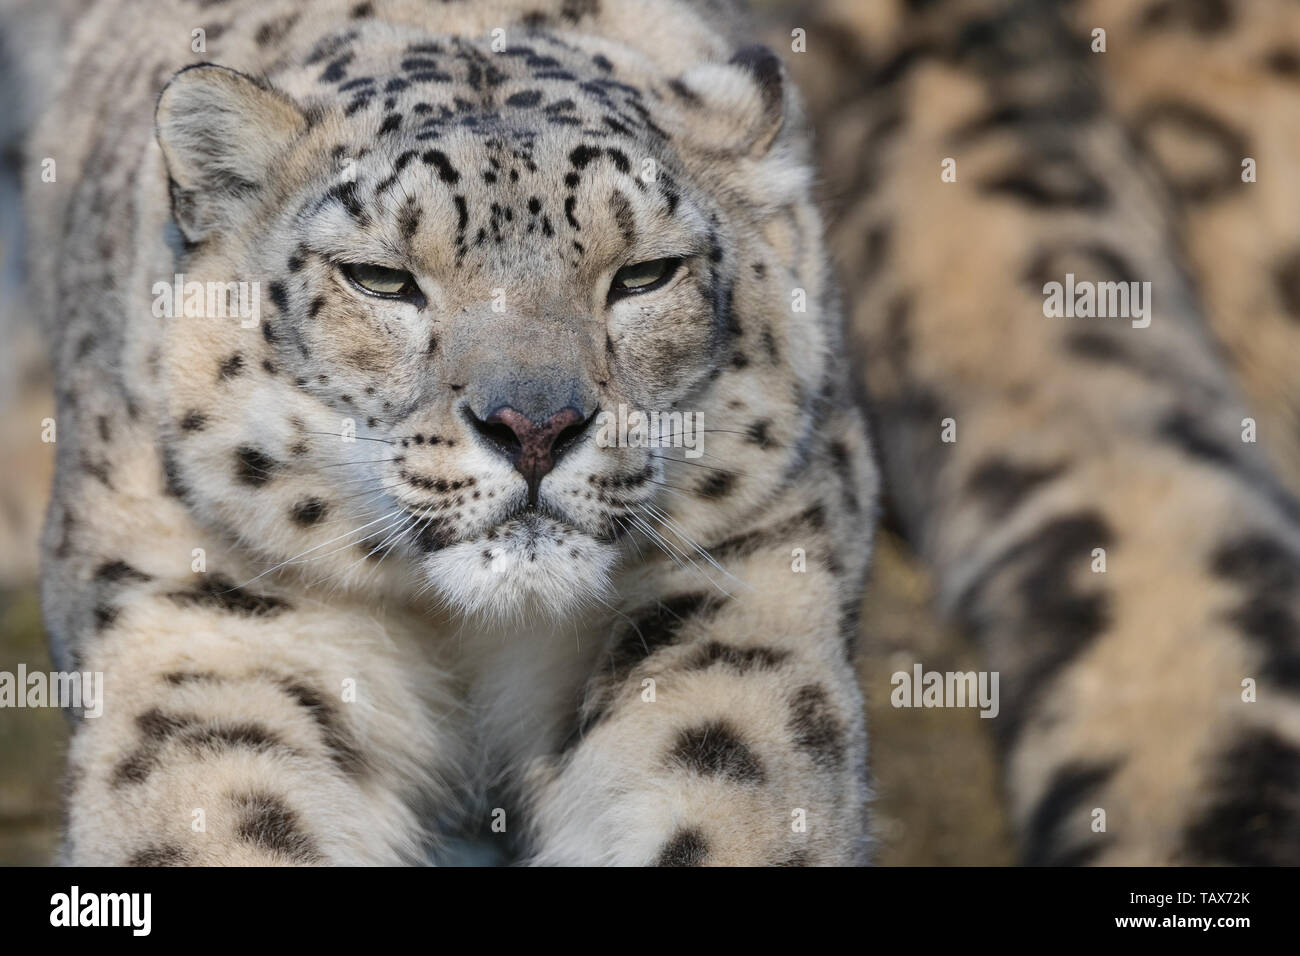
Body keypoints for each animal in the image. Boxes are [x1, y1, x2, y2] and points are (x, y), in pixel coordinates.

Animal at [21, 0, 878, 864]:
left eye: (644, 274)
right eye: (380, 279)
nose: (535, 427)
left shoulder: (738, 592)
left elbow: (729, 780)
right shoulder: (208, 622)